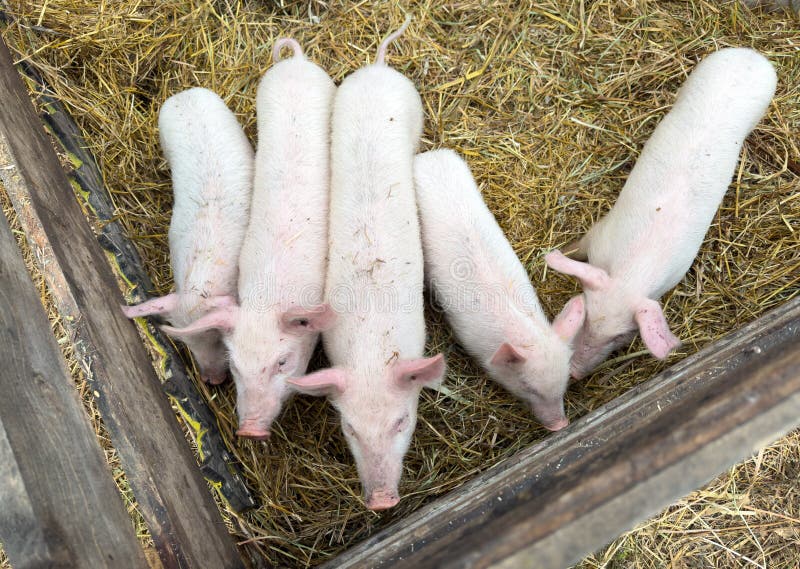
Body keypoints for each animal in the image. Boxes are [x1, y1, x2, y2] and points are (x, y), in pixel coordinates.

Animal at [287, 18, 446, 511]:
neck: (375, 349)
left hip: (414, 108)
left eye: (401, 422)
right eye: (350, 429)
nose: (380, 501)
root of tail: (377, 66)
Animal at [545, 47, 777, 379]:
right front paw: (558, 251)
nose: (575, 371)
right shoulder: (602, 233)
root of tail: (751, 55)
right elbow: (579, 246)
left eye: (621, 336)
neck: (632, 271)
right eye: (586, 312)